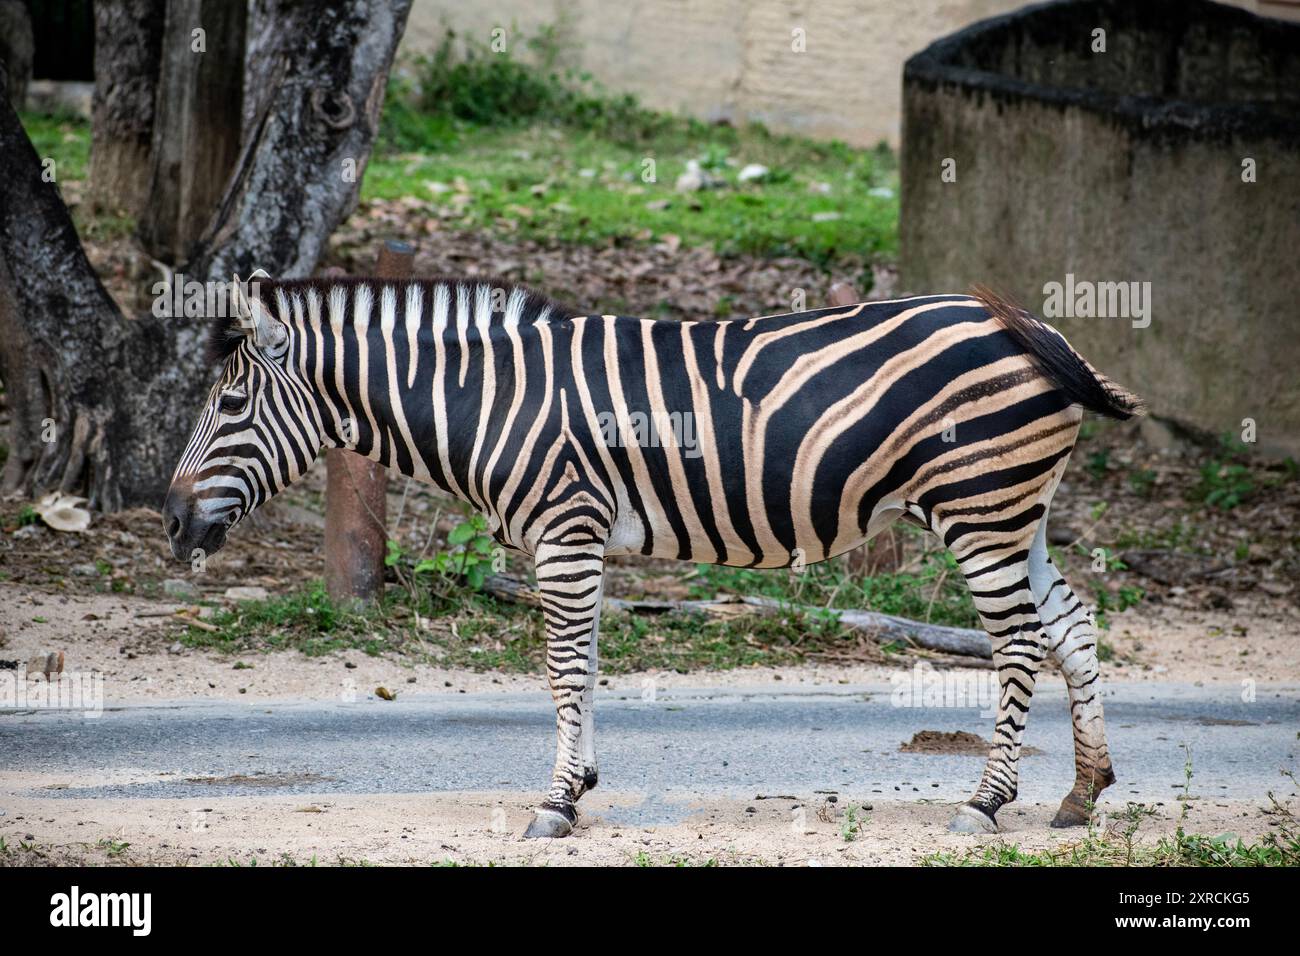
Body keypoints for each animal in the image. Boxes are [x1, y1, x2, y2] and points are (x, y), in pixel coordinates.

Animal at [163, 274, 1142, 838]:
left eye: (233, 402)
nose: (169, 522)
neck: (493, 398)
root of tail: (1021, 322)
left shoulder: (564, 528)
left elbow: (563, 668)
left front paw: (556, 804)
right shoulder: (579, 538)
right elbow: (588, 662)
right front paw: (583, 781)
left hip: (978, 505)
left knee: (1018, 642)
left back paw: (986, 803)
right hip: (1016, 510)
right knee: (1072, 623)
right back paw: (1082, 793)